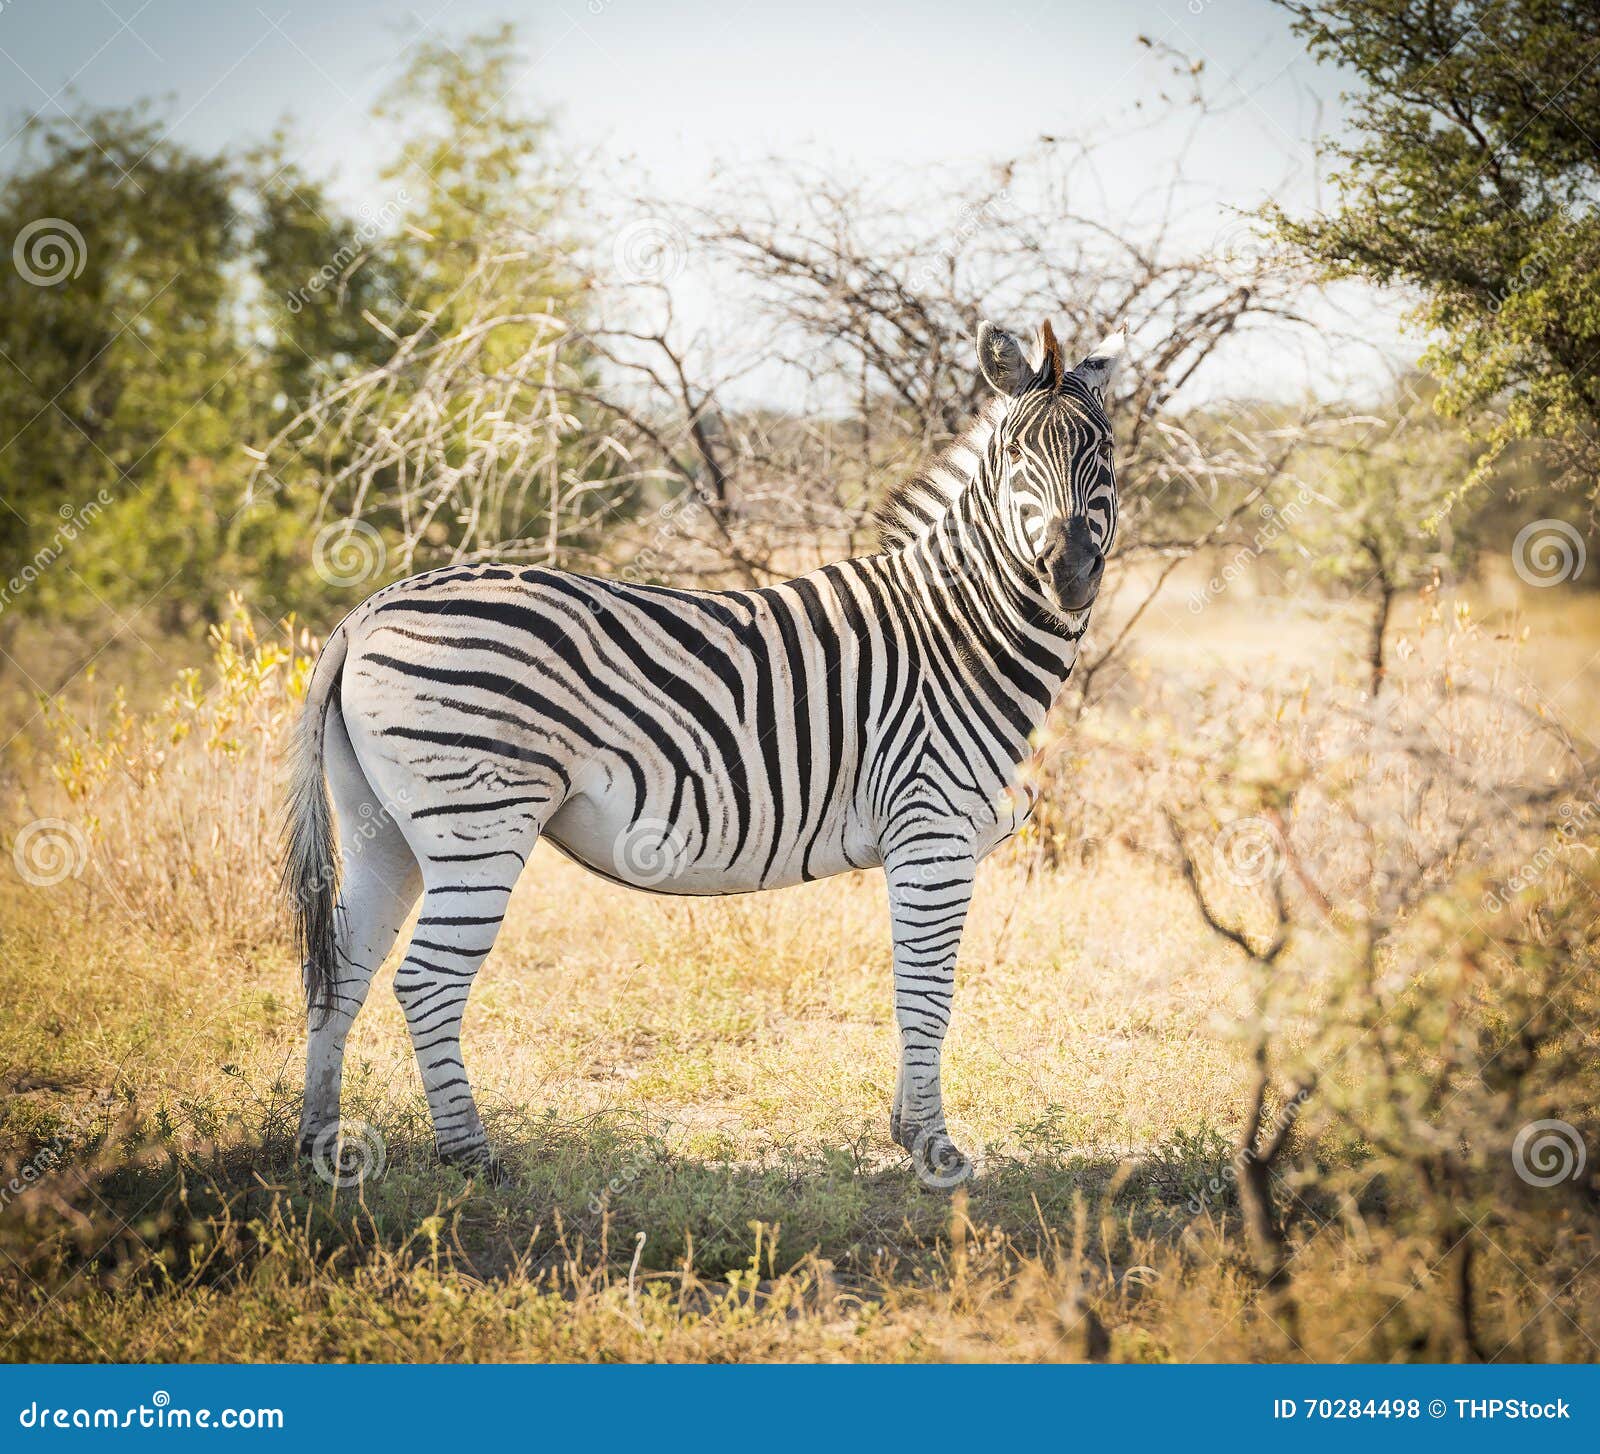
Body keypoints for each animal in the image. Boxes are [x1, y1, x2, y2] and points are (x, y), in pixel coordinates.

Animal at [285, 318, 1124, 1184]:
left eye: (1103, 449)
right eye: (1018, 455)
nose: (1068, 574)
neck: (958, 632)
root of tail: (369, 610)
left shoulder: (927, 839)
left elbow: (913, 990)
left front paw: (906, 1130)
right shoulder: (933, 829)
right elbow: (927, 994)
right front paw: (933, 1148)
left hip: (384, 828)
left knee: (338, 969)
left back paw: (323, 1146)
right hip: (478, 818)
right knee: (426, 982)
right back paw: (472, 1156)